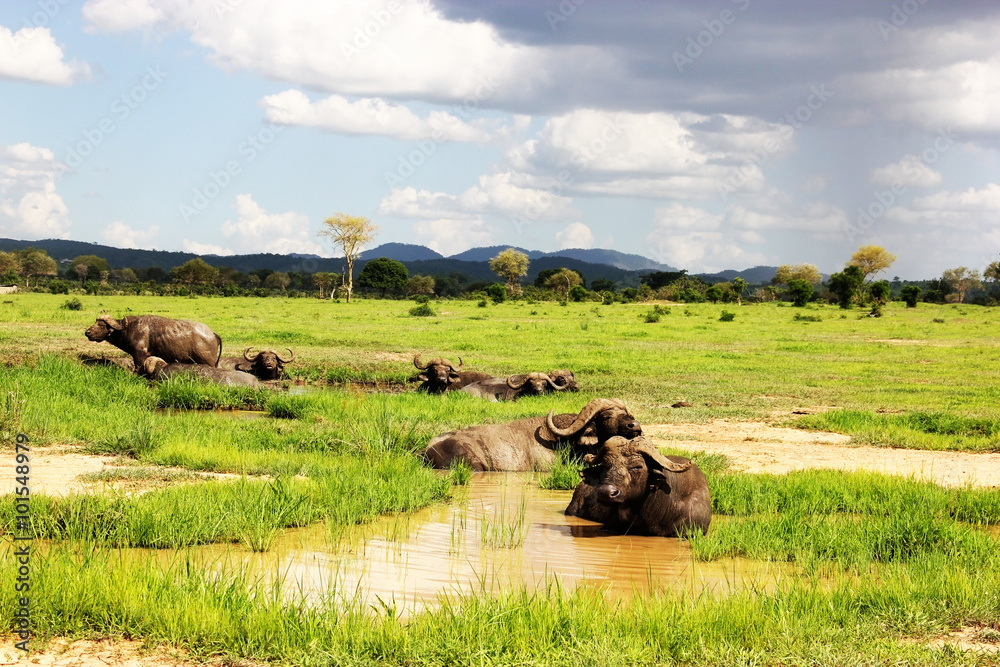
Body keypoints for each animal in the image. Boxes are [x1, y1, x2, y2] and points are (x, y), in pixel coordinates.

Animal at [85, 314, 222, 368]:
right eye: (96, 322)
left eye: (101, 325)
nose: (87, 332)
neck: (128, 329)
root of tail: (212, 333)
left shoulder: (139, 355)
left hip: (208, 362)